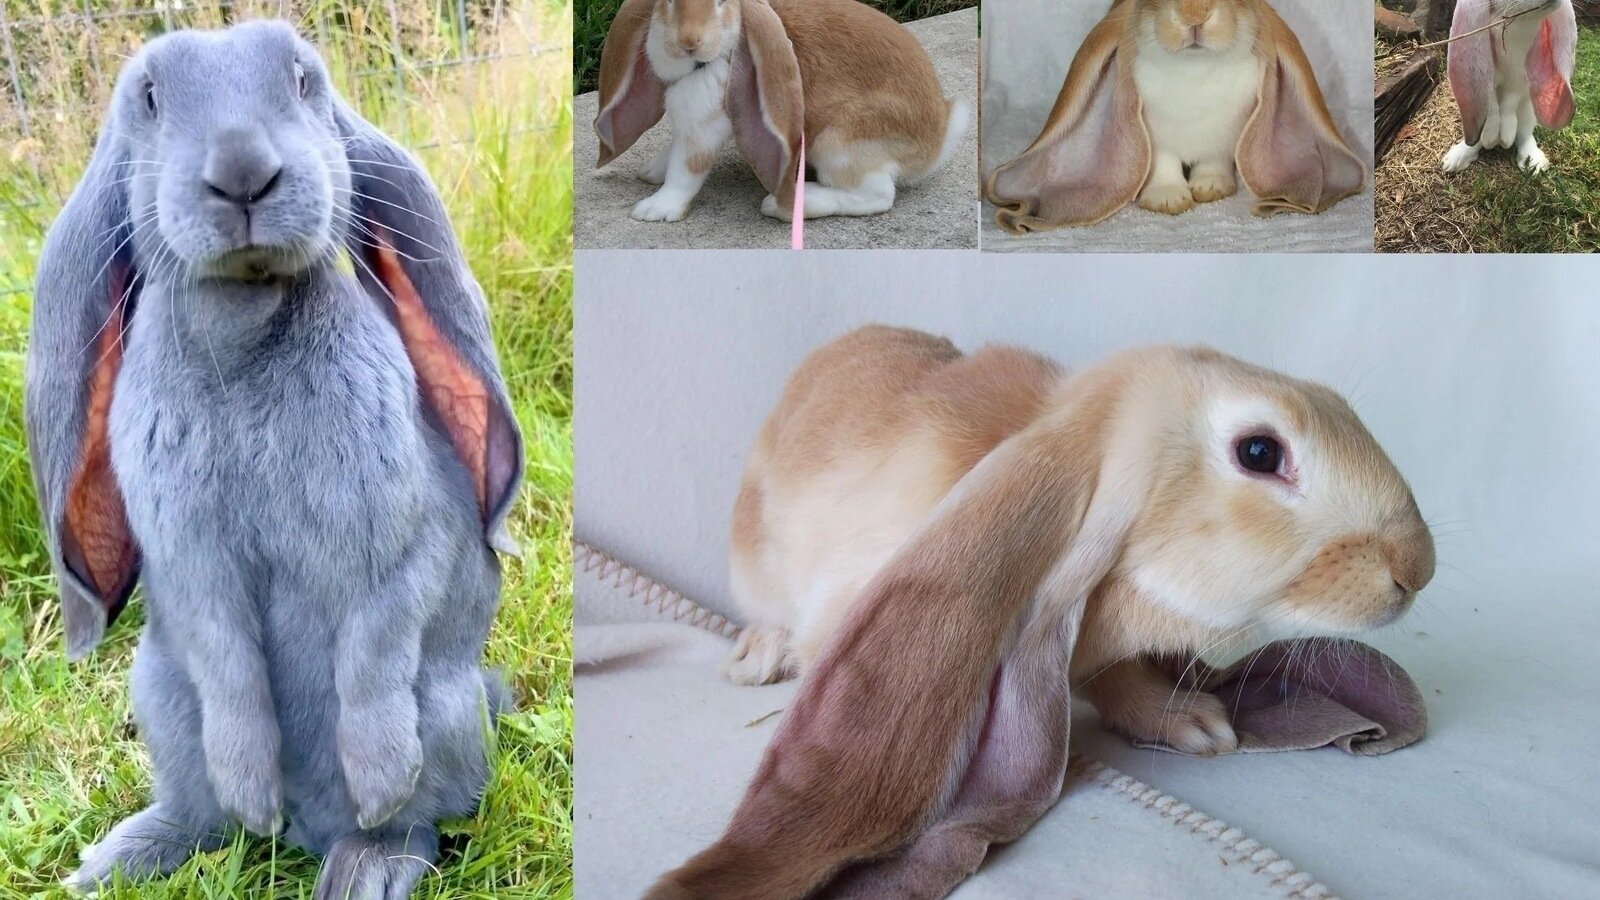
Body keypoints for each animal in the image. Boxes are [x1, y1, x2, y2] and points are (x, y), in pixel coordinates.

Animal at [23, 20, 523, 900]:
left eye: (302, 81)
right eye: (149, 100)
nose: (242, 174)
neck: (246, 329)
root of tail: (307, 832)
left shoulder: (391, 548)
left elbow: (376, 651)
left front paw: (380, 778)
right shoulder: (193, 567)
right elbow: (227, 661)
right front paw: (251, 789)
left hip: (445, 709)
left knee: (419, 821)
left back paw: (362, 863)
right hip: (161, 696)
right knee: (203, 815)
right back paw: (125, 857)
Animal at [594, 0, 970, 223]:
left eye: (721, 2)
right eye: (667, 1)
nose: (689, 42)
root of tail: (936, 141)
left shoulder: (704, 127)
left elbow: (685, 170)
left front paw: (656, 209)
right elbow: (673, 149)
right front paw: (650, 172)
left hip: (838, 143)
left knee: (877, 196)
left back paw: (782, 205)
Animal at [985, 0, 1366, 232]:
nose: (1193, 16)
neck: (1195, 71)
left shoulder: (1223, 136)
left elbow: (1213, 160)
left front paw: (1211, 187)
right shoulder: (1156, 137)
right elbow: (1162, 165)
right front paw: (1167, 199)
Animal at [1441, 0, 1575, 174]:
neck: (1519, 21)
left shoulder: (1518, 80)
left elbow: (1509, 104)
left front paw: (1505, 138)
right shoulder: (1491, 81)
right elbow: (1492, 105)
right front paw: (1492, 138)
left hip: (1528, 112)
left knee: (1524, 135)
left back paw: (1534, 163)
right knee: (1475, 137)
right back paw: (1455, 160)